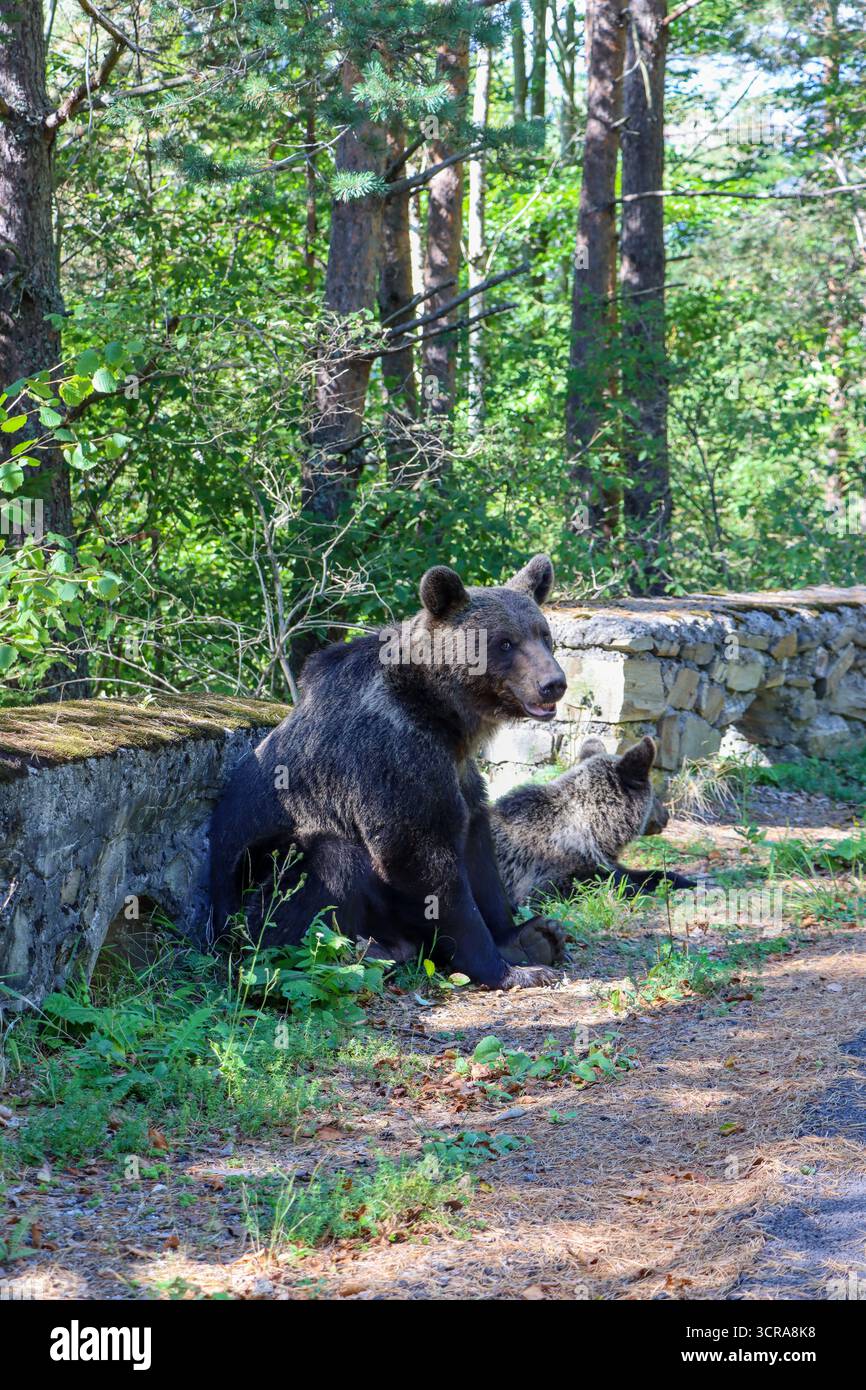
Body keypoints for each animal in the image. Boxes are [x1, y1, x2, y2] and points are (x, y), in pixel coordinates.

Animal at [209, 554, 569, 989]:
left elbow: (478, 849)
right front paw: (505, 969)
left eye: (543, 635)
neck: (443, 715)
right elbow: (418, 855)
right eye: (504, 643)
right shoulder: (390, 755)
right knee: (327, 865)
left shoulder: (459, 772)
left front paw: (524, 937)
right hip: (253, 877)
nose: (553, 683)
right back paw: (368, 950)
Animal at [489, 734, 697, 907]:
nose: (666, 815)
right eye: (655, 795)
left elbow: (639, 874)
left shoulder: (605, 860)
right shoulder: (538, 873)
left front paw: (683, 880)